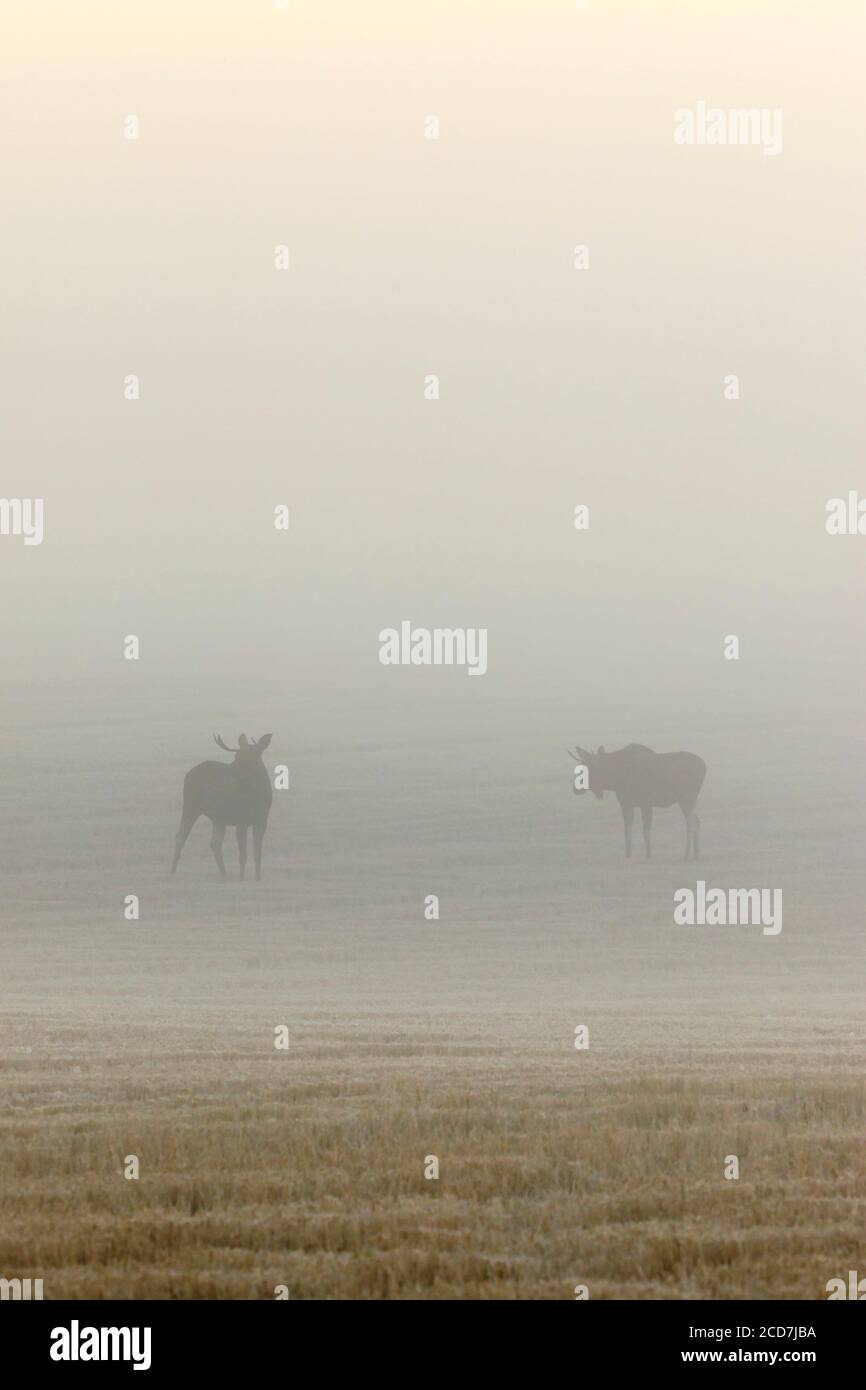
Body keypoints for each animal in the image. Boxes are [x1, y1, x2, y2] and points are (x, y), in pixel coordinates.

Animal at [171, 734, 273, 880]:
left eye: (249, 757)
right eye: (236, 756)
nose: (231, 774)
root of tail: (188, 774)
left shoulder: (262, 820)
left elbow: (257, 853)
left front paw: (257, 878)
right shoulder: (240, 820)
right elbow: (243, 853)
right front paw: (241, 878)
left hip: (218, 817)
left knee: (215, 843)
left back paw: (224, 874)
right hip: (190, 804)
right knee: (180, 835)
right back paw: (172, 870)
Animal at [568, 742, 706, 861]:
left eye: (591, 767)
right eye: (580, 768)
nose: (575, 788)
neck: (615, 779)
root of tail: (704, 767)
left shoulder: (646, 804)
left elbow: (646, 832)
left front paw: (648, 856)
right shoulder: (626, 804)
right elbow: (627, 830)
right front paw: (628, 855)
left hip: (686, 798)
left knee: (691, 823)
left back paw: (686, 855)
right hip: (689, 801)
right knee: (697, 820)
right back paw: (696, 854)